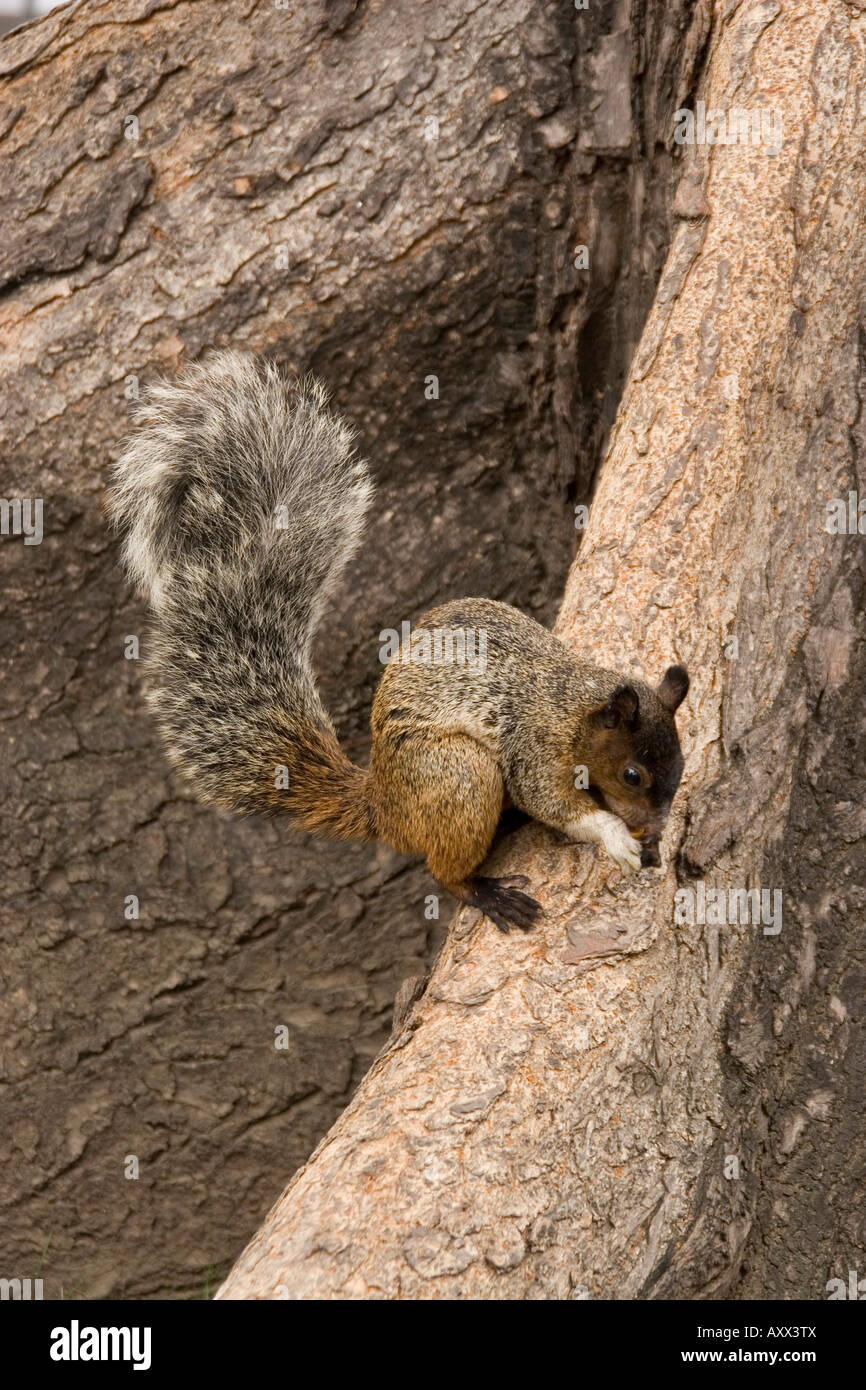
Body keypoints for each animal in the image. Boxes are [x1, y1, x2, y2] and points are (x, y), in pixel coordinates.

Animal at [110, 351, 689, 934]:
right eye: (632, 774)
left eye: (681, 767)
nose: (653, 829)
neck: (575, 705)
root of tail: (386, 806)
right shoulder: (535, 746)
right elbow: (554, 802)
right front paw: (616, 836)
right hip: (457, 773)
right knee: (443, 868)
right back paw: (485, 892)